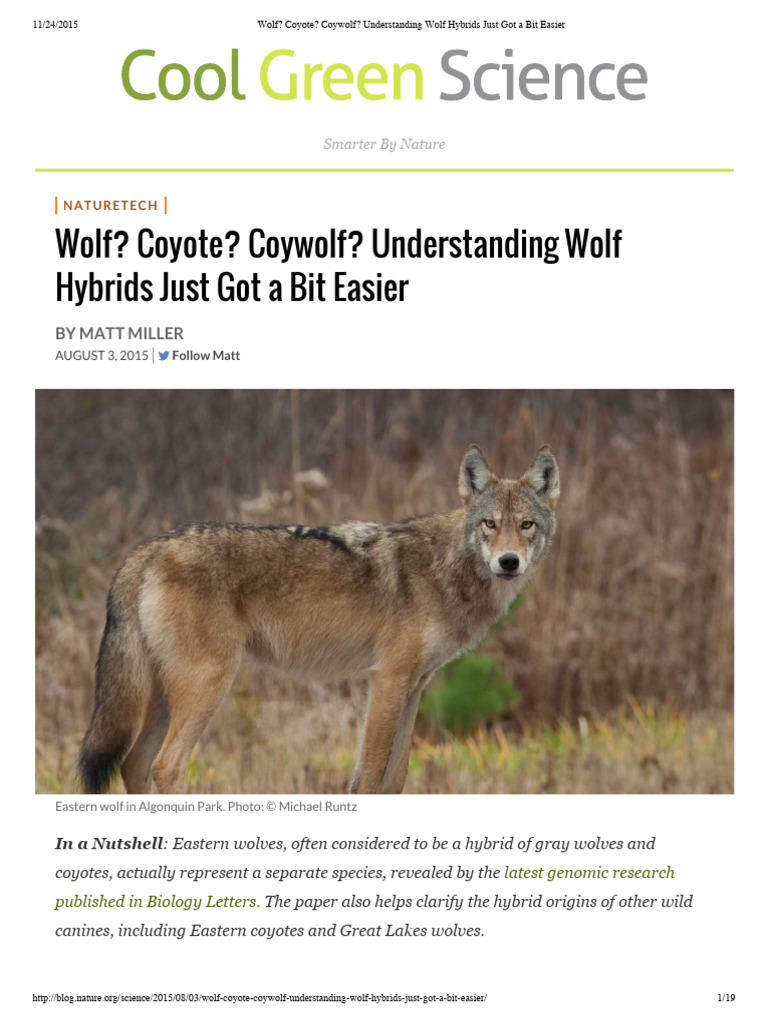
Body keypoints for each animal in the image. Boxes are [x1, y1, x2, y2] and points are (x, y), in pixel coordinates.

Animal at [77, 444, 560, 795]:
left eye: (527, 525)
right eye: (490, 524)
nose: (509, 562)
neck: (446, 570)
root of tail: (148, 548)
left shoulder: (414, 687)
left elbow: (395, 779)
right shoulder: (387, 680)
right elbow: (369, 778)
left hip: (168, 692)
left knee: (134, 764)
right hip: (207, 684)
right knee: (166, 766)